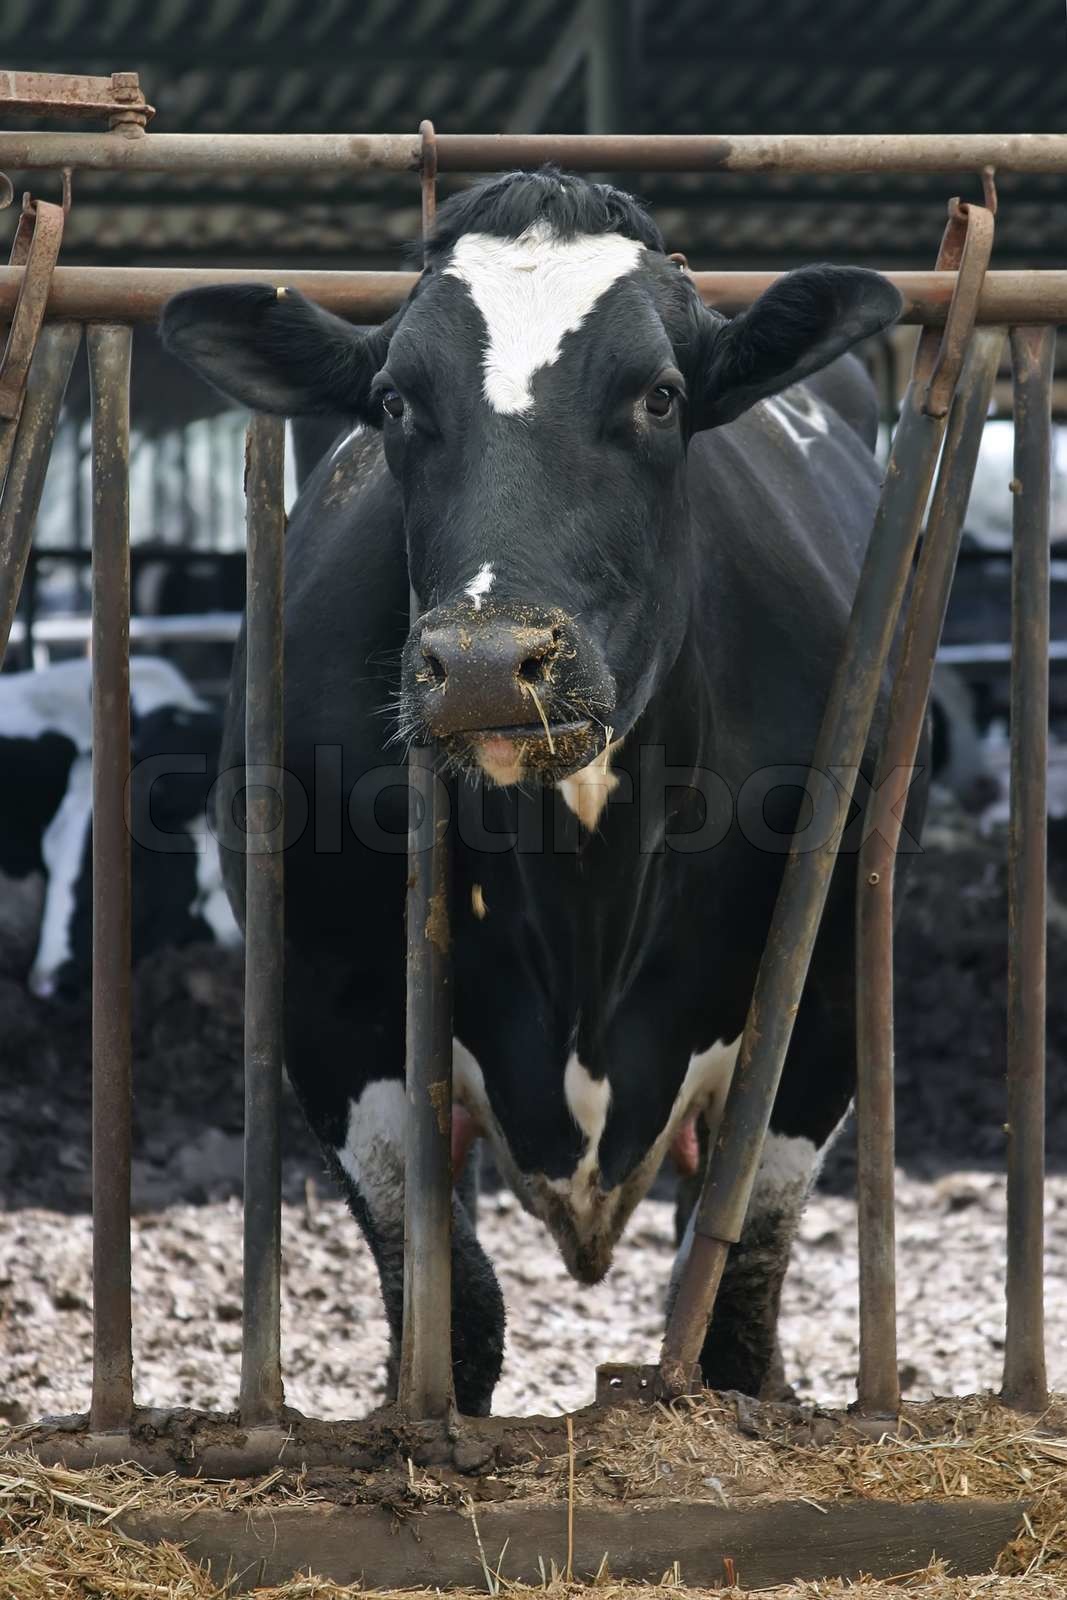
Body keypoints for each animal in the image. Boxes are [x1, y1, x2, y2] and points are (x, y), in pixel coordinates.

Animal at [161, 168, 922, 1416]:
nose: (482, 661)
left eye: (659, 396)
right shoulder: (333, 1011)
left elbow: (733, 1305)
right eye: (393, 399)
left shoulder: (817, 1010)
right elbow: (451, 1308)